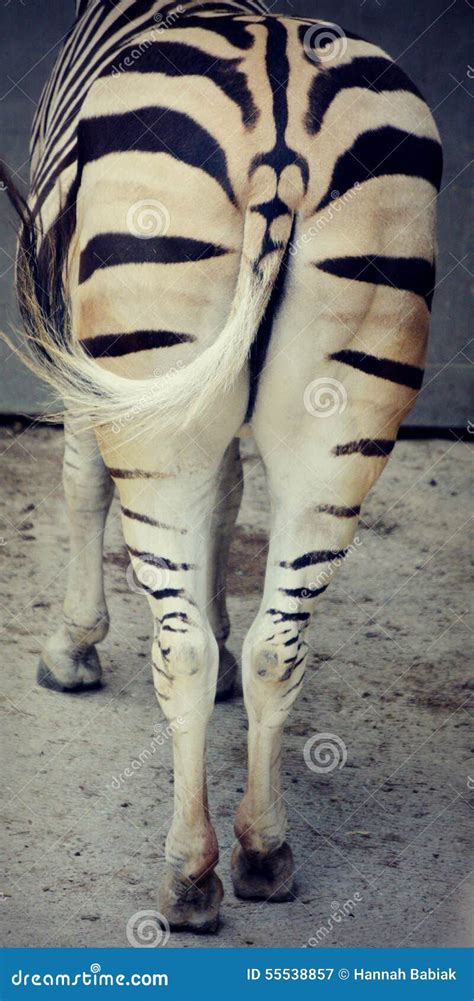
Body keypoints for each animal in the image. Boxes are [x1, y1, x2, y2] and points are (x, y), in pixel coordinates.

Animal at [1, 0, 441, 933]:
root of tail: (281, 117)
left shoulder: (84, 359)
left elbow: (81, 479)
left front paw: (72, 648)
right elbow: (230, 497)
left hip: (151, 383)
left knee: (180, 650)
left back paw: (189, 876)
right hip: (343, 408)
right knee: (282, 641)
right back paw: (265, 853)